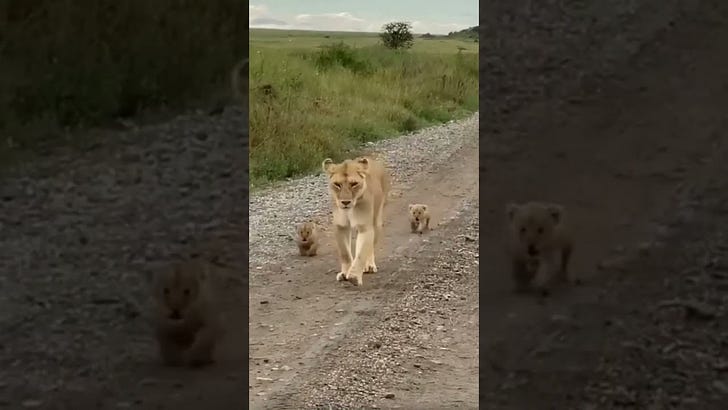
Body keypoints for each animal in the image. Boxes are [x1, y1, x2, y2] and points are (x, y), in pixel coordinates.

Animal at [322, 156, 391, 286]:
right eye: (337, 184)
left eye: (354, 184)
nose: (345, 202)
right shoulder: (341, 227)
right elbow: (345, 253)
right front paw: (345, 273)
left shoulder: (365, 227)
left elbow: (361, 253)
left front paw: (354, 276)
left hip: (376, 221)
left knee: (371, 247)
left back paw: (369, 266)